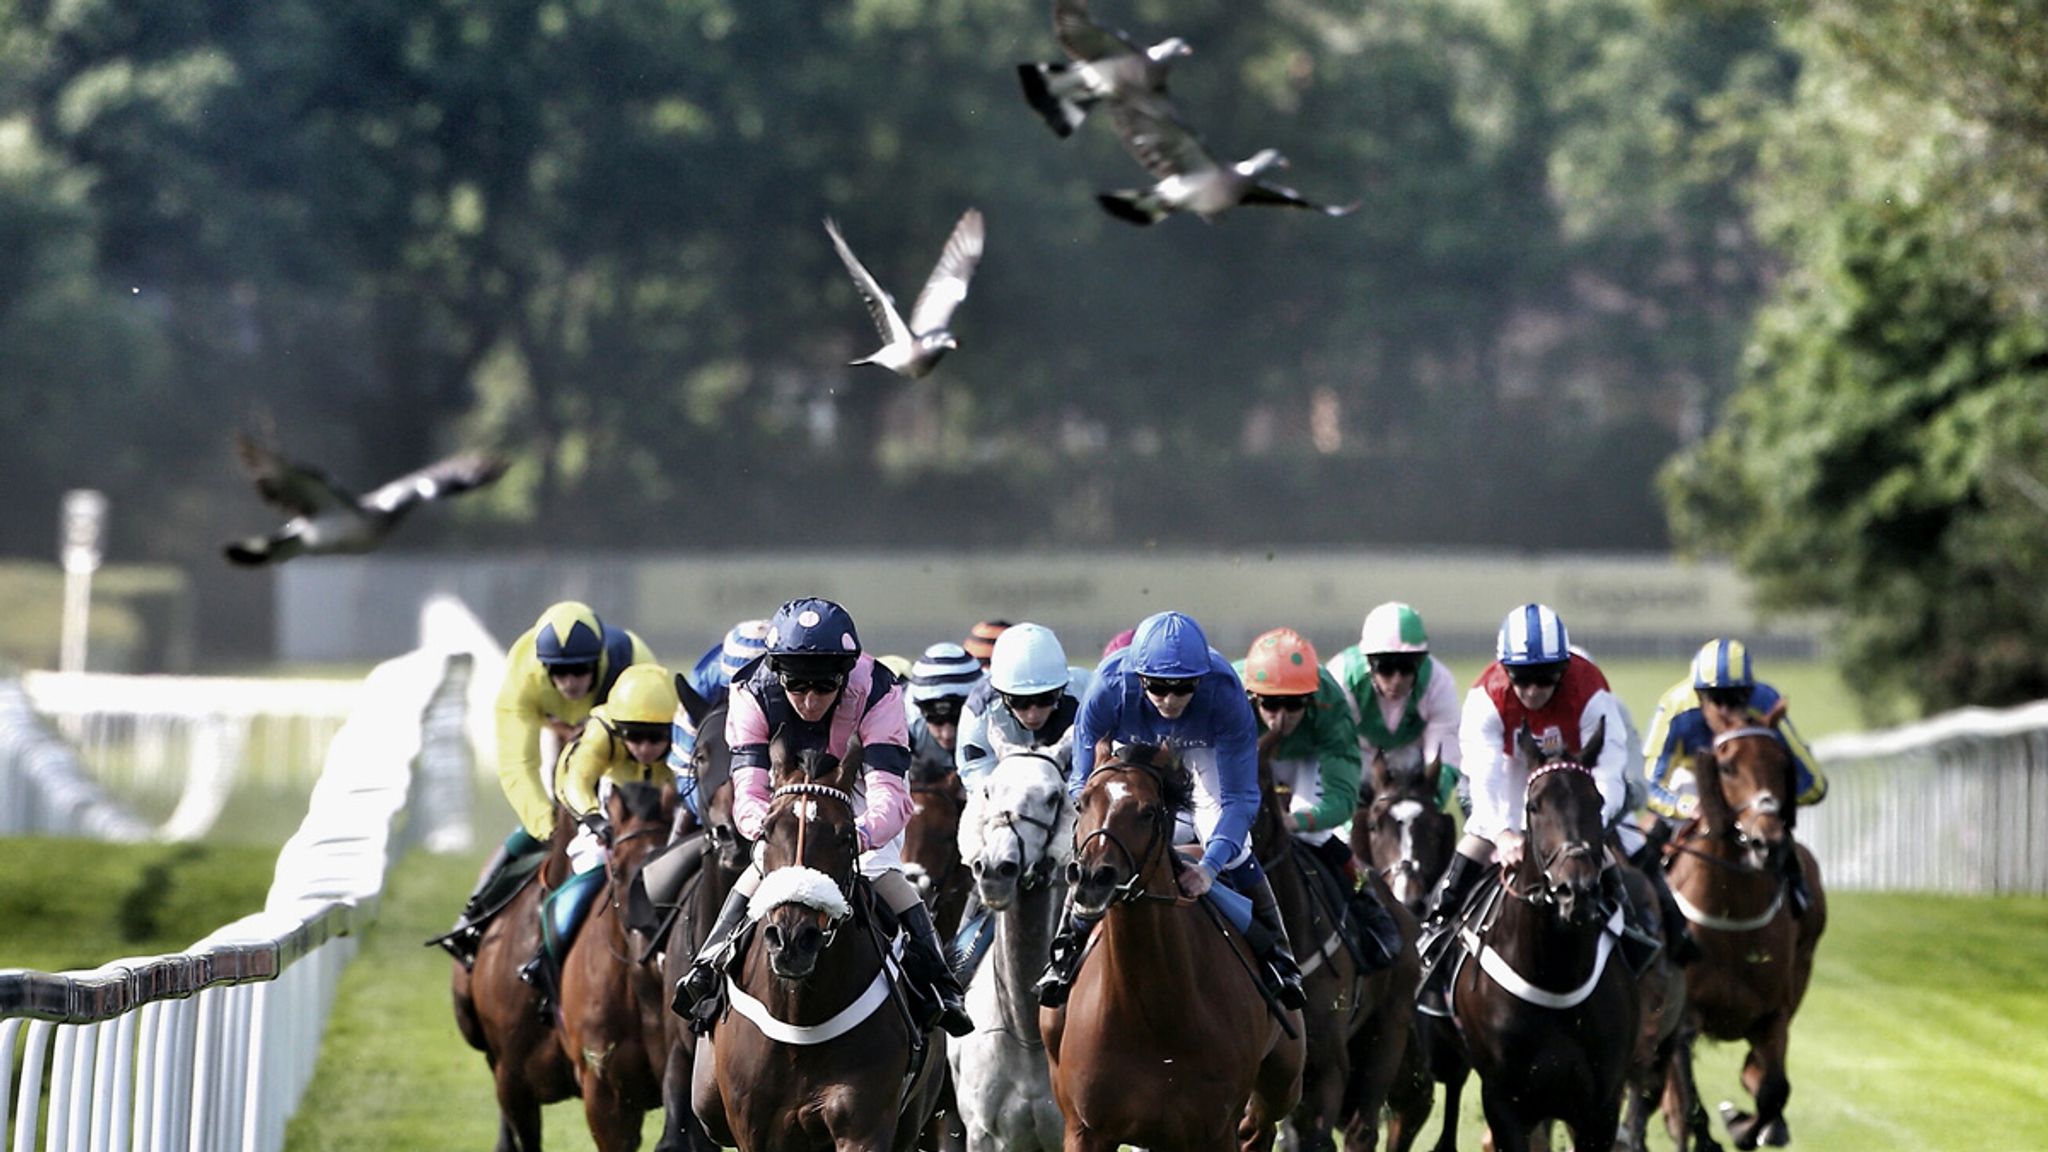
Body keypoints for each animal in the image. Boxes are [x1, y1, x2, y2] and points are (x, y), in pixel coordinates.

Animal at [692, 738, 947, 1152]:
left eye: (845, 836)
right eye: (766, 830)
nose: (794, 940)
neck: (801, 1018)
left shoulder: (863, 1126)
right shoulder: (754, 1128)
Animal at [1042, 743, 1304, 1152]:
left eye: (1148, 812)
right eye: (1082, 803)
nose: (1091, 877)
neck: (1152, 1013)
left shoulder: (1216, 1130)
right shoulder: (1086, 1129)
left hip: (1283, 1081)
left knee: (1261, 1124)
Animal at [1449, 719, 1638, 1152]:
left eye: (1597, 802)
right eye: (1534, 806)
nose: (1576, 890)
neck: (1555, 974)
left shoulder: (1601, 1107)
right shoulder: (1504, 1104)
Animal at [1662, 700, 1827, 1151]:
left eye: (1783, 762)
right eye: (1727, 765)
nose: (1766, 843)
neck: (1730, 915)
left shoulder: (1774, 1013)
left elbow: (1772, 1089)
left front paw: (1740, 1122)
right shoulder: (1684, 1015)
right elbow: (1687, 1100)